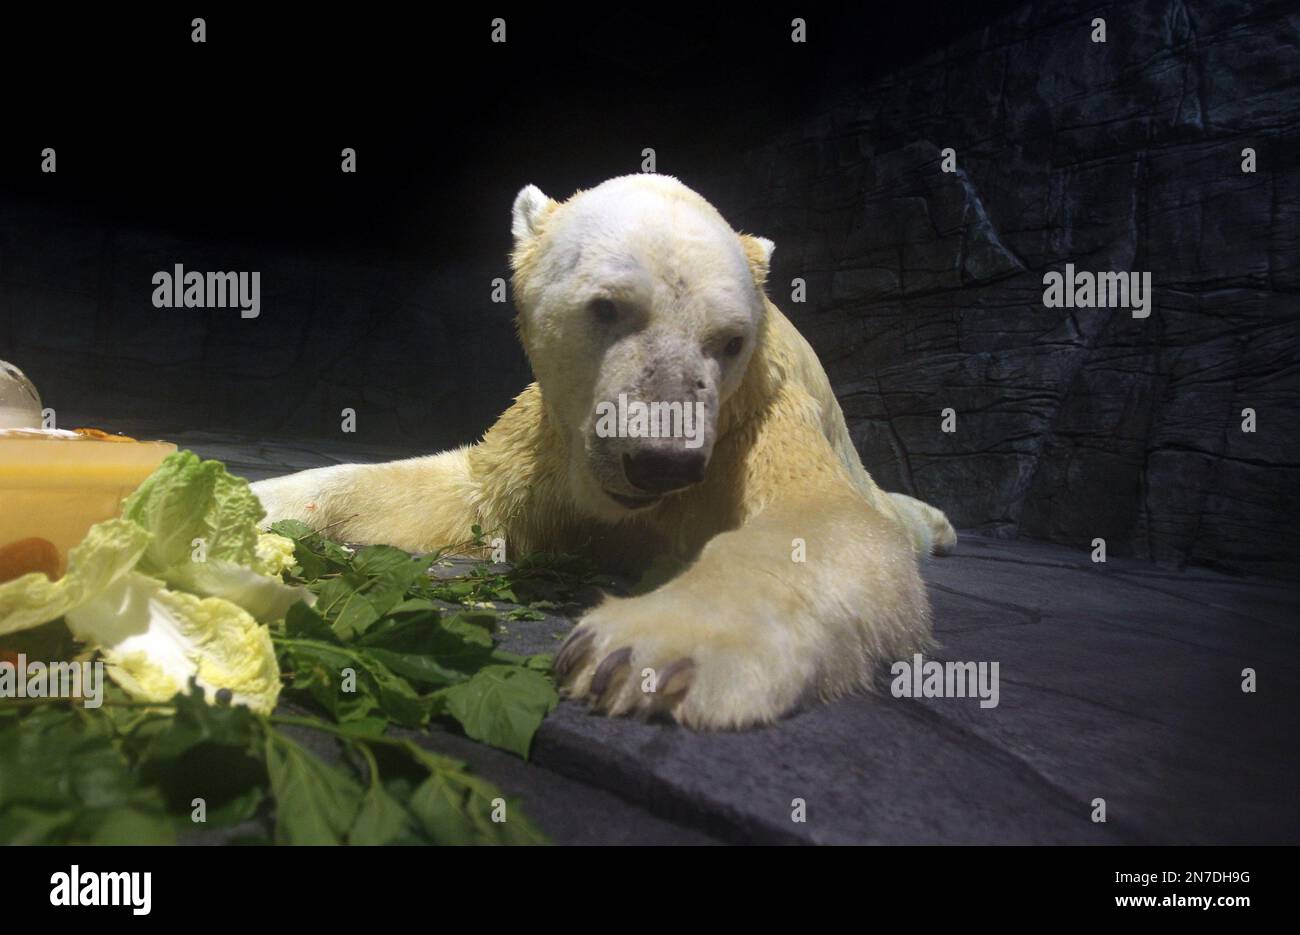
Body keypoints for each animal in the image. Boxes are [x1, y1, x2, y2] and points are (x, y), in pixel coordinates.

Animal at [251, 174, 957, 729]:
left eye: (730, 341)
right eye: (607, 307)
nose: (661, 460)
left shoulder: (754, 423)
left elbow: (824, 525)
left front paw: (643, 649)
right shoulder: (545, 447)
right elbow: (458, 495)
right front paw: (247, 503)